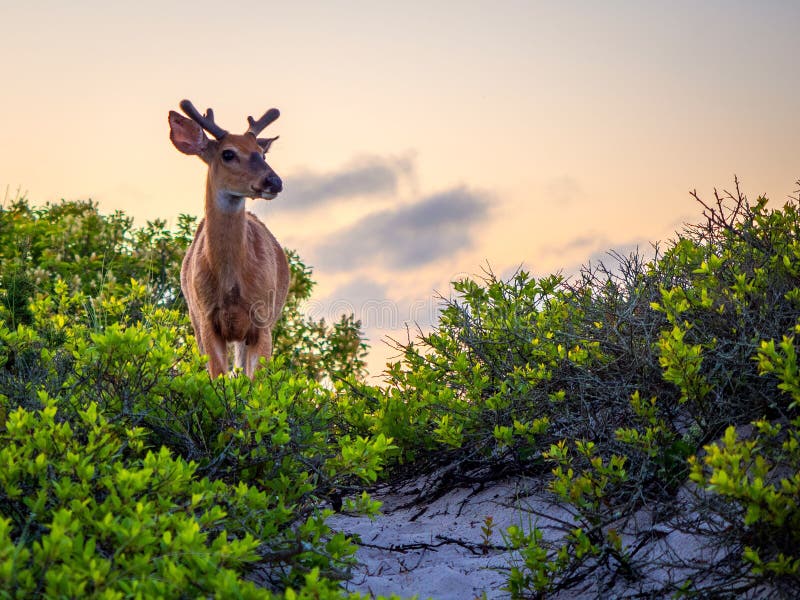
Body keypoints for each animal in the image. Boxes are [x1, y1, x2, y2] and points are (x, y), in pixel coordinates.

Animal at [168, 100, 290, 378]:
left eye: (262, 154)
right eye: (228, 154)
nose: (274, 181)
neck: (231, 283)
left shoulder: (263, 318)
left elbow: (257, 382)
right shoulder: (206, 320)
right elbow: (218, 377)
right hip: (194, 320)